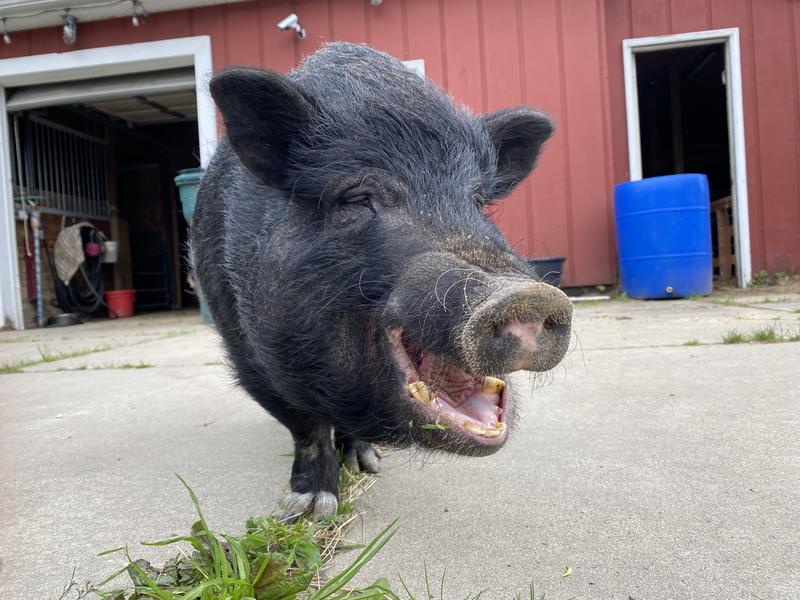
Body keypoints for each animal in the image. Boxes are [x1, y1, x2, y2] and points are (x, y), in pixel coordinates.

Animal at [190, 43, 573, 520]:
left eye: (478, 201)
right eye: (356, 197)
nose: (531, 296)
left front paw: (367, 466)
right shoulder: (249, 353)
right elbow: (305, 426)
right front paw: (309, 510)